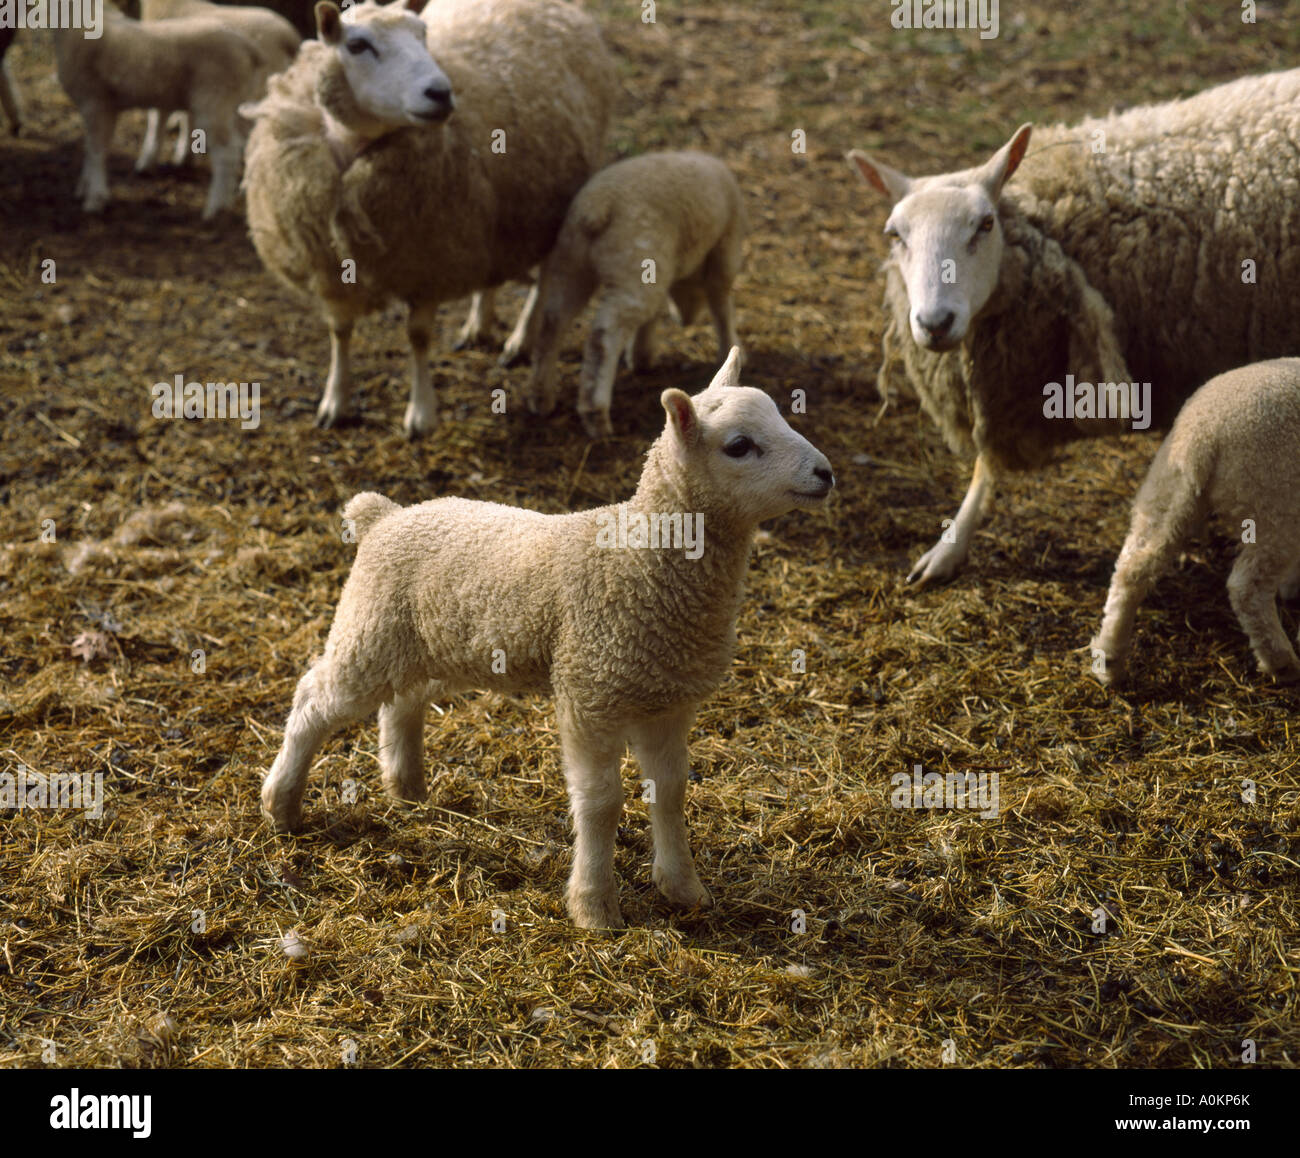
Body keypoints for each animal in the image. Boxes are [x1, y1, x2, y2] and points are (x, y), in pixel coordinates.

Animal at [53, 6, 272, 219]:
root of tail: (249, 47)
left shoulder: (95, 101)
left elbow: (96, 151)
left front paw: (95, 199)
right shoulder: (98, 105)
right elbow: (90, 148)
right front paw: (84, 188)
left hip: (214, 99)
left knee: (227, 152)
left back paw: (215, 207)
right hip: (236, 101)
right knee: (242, 144)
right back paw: (230, 198)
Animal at [241, 0, 616, 437]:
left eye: (424, 35)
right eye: (357, 45)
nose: (440, 92)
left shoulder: (429, 264)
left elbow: (418, 337)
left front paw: (421, 414)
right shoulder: (330, 270)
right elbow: (340, 332)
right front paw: (335, 402)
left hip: (549, 201)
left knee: (542, 280)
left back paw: (520, 341)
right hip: (497, 213)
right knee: (491, 271)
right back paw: (479, 324)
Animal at [260, 349, 836, 929]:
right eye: (739, 446)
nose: (826, 473)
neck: (641, 560)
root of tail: (384, 515)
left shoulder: (668, 701)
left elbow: (670, 793)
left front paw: (683, 888)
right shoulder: (590, 695)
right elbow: (601, 802)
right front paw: (595, 907)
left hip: (431, 642)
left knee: (403, 701)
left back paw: (407, 789)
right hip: (370, 629)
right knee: (313, 699)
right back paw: (281, 804)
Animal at [525, 151, 748, 438]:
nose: (685, 321)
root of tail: (595, 209)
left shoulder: (660, 269)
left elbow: (654, 314)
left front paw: (642, 355)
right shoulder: (724, 248)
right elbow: (721, 304)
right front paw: (731, 346)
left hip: (570, 263)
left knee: (553, 323)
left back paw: (541, 395)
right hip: (631, 265)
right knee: (603, 337)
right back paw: (595, 412)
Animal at [1090, 359, 1300, 687]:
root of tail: (1201, 441)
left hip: (1163, 493)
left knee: (1129, 569)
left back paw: (1109, 659)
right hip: (1276, 505)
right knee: (1246, 589)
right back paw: (1281, 663)